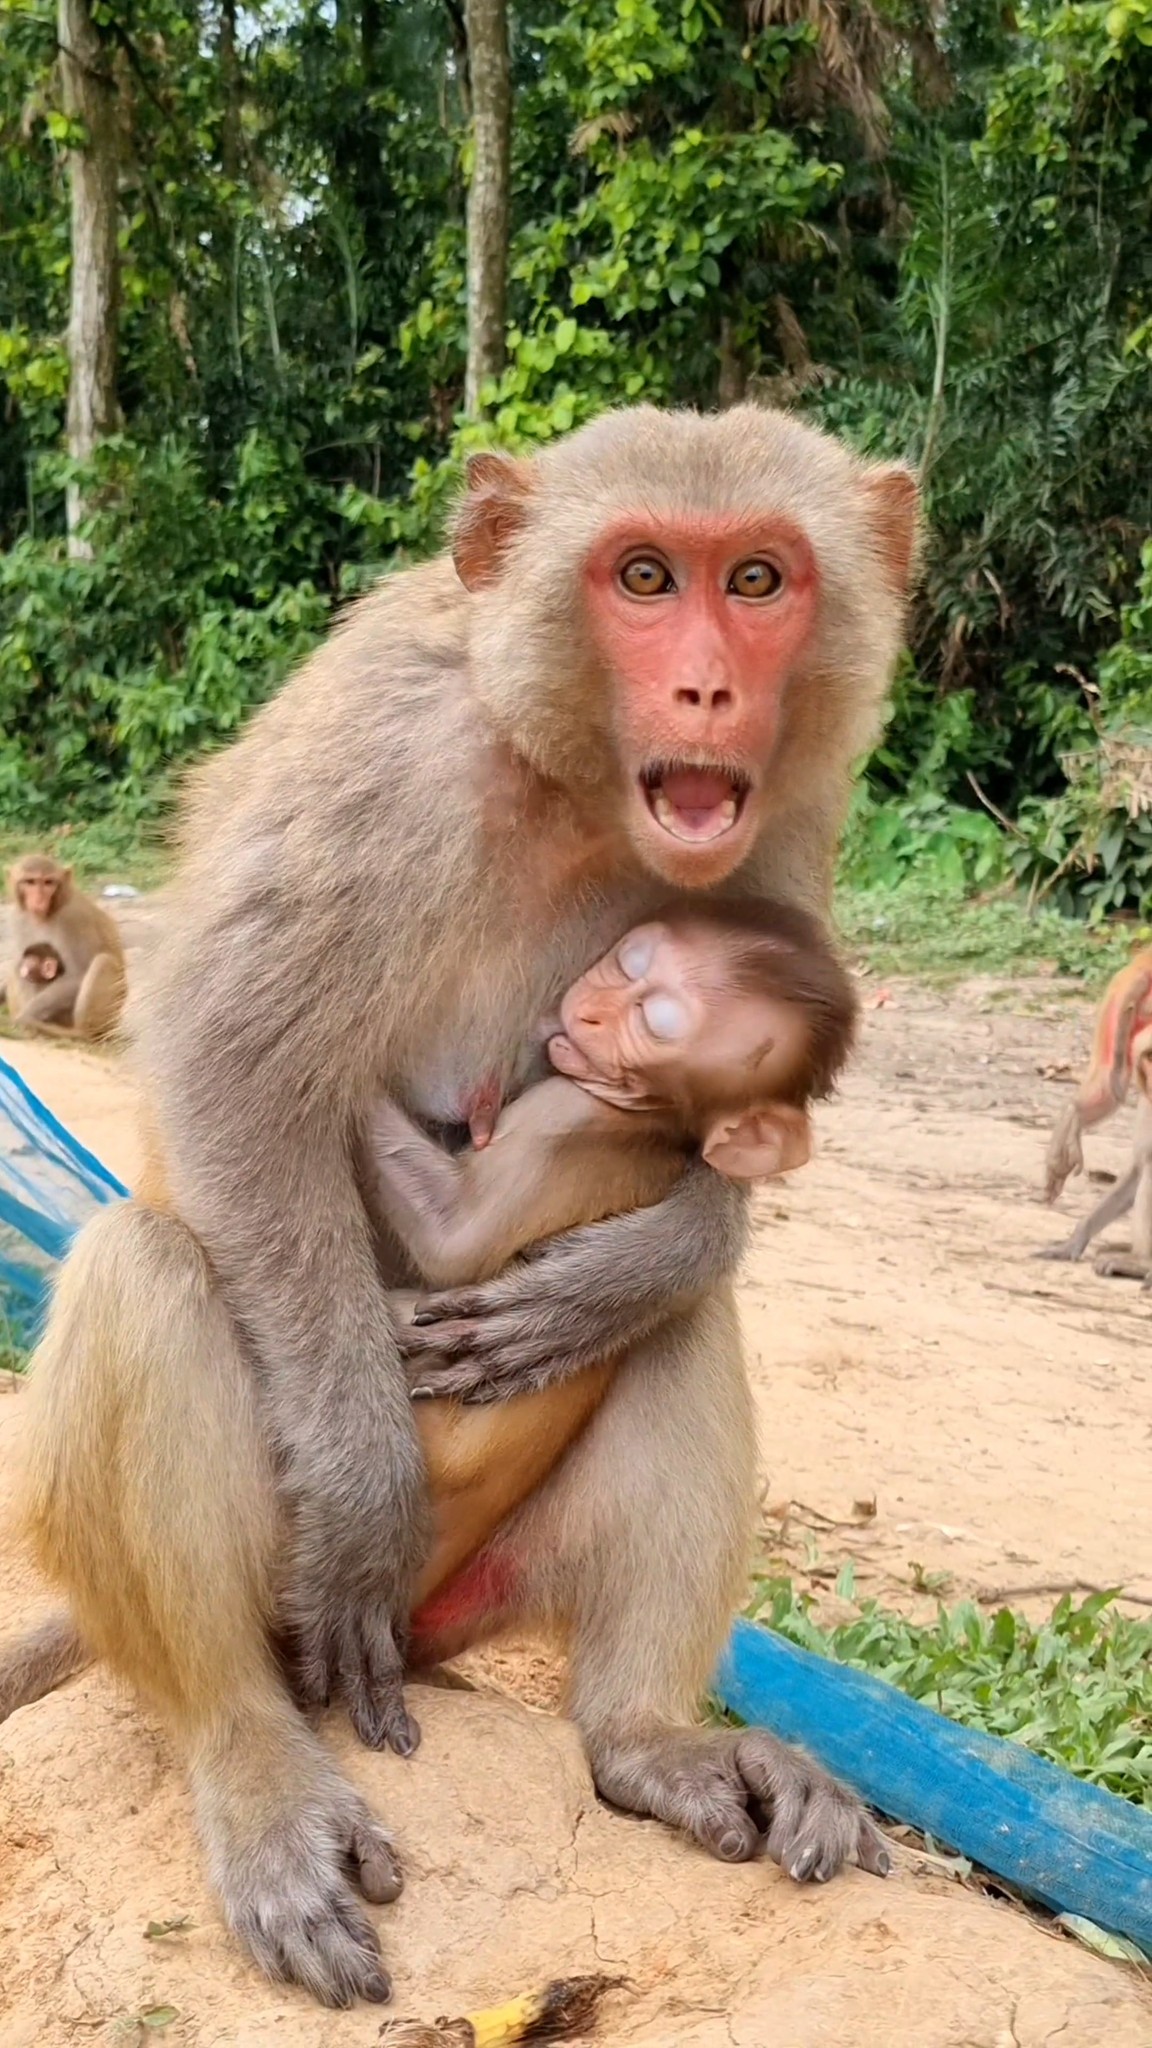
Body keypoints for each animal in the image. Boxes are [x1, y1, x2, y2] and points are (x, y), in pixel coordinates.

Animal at [3, 855, 127, 1041]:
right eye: (30, 882)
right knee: (20, 965)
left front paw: (25, 1017)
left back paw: (80, 1034)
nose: (39, 899)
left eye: (48, 882)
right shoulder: (18, 916)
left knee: (102, 961)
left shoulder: (73, 918)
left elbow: (77, 975)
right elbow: (24, 962)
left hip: (107, 1016)